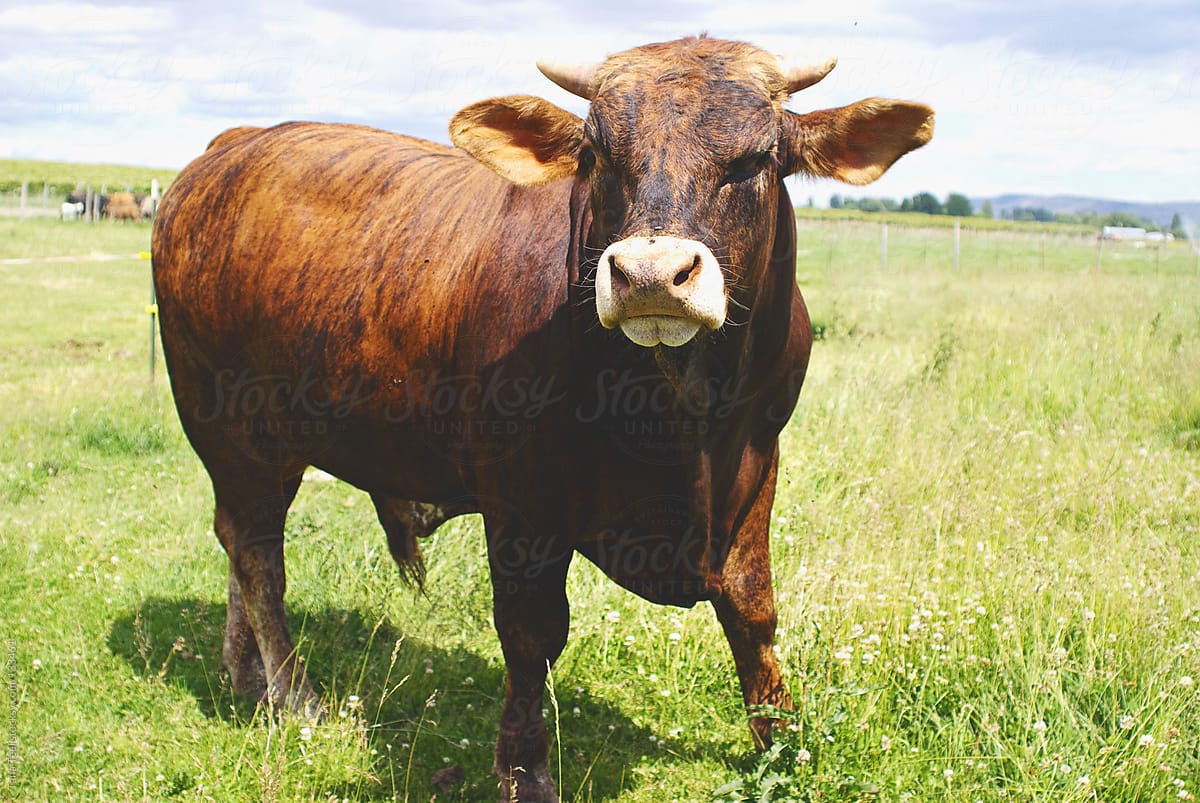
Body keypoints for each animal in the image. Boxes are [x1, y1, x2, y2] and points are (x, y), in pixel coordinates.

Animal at [151, 35, 932, 802]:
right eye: (597, 155)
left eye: (757, 158)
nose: (651, 275)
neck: (680, 420)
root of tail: (234, 146)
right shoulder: (522, 503)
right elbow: (531, 635)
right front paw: (525, 771)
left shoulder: (755, 464)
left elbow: (752, 609)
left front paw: (784, 746)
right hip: (227, 424)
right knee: (259, 556)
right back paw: (292, 692)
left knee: (240, 543)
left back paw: (245, 676)